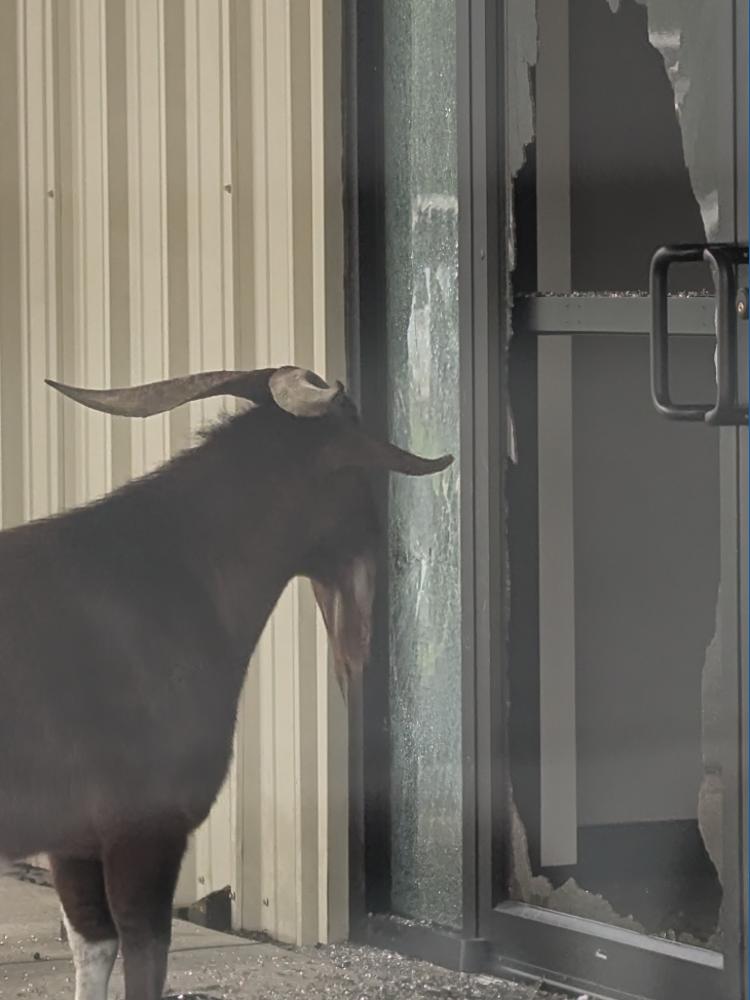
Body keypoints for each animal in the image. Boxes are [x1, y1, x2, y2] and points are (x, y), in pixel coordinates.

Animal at [0, 367, 452, 1000]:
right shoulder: (146, 827)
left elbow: (92, 944)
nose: (393, 555)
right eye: (360, 471)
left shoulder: (73, 840)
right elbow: (144, 955)